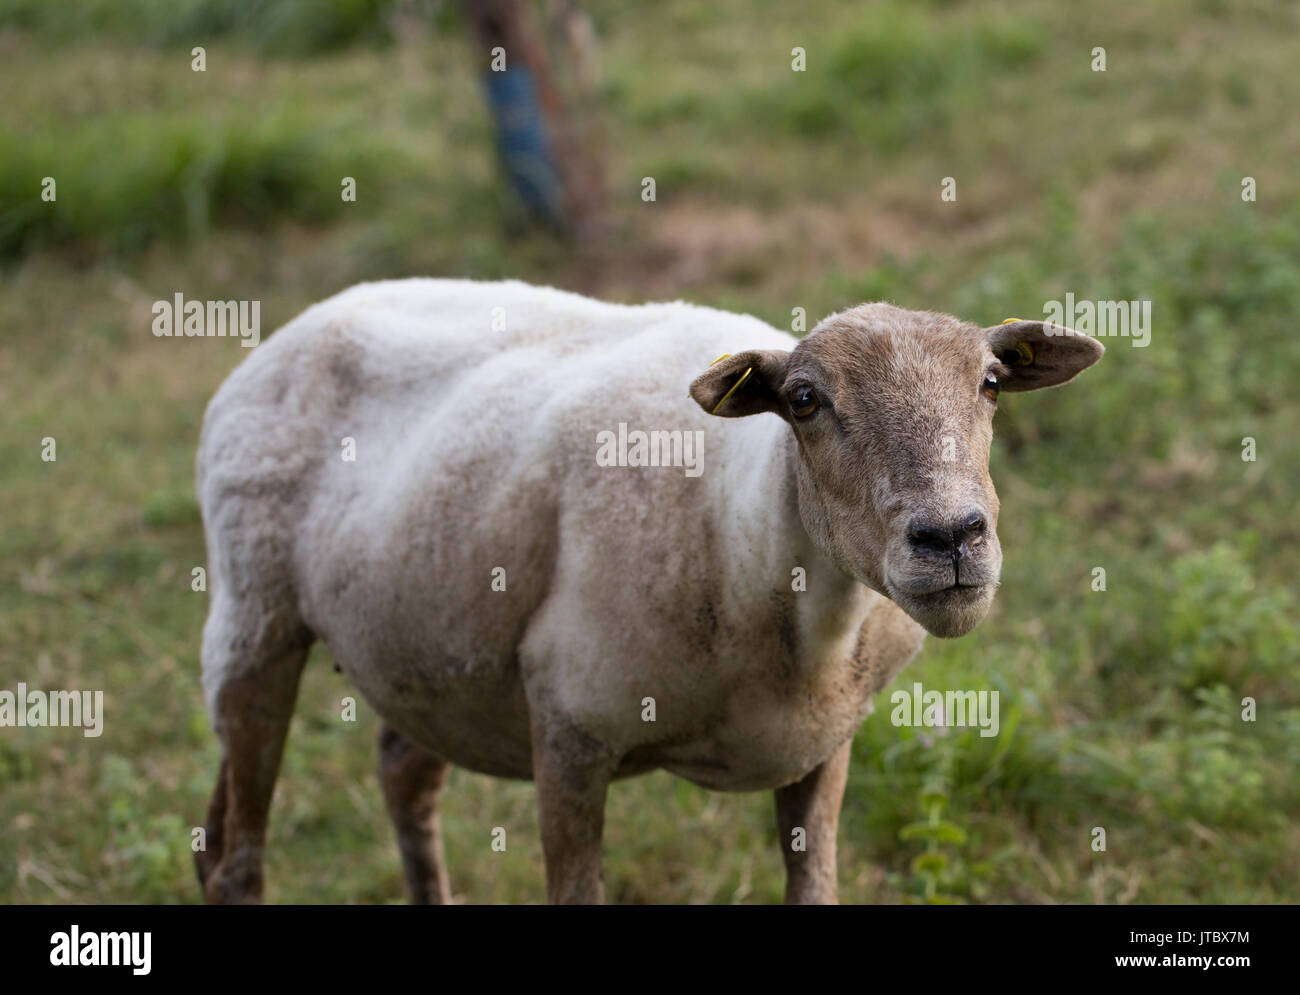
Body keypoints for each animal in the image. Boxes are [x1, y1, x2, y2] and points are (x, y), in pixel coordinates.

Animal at [193, 278, 1102, 904]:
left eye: (990, 382)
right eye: (805, 400)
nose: (950, 537)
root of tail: (300, 322)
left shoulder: (823, 749)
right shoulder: (570, 730)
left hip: (430, 647)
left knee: (397, 778)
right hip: (252, 615)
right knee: (233, 856)